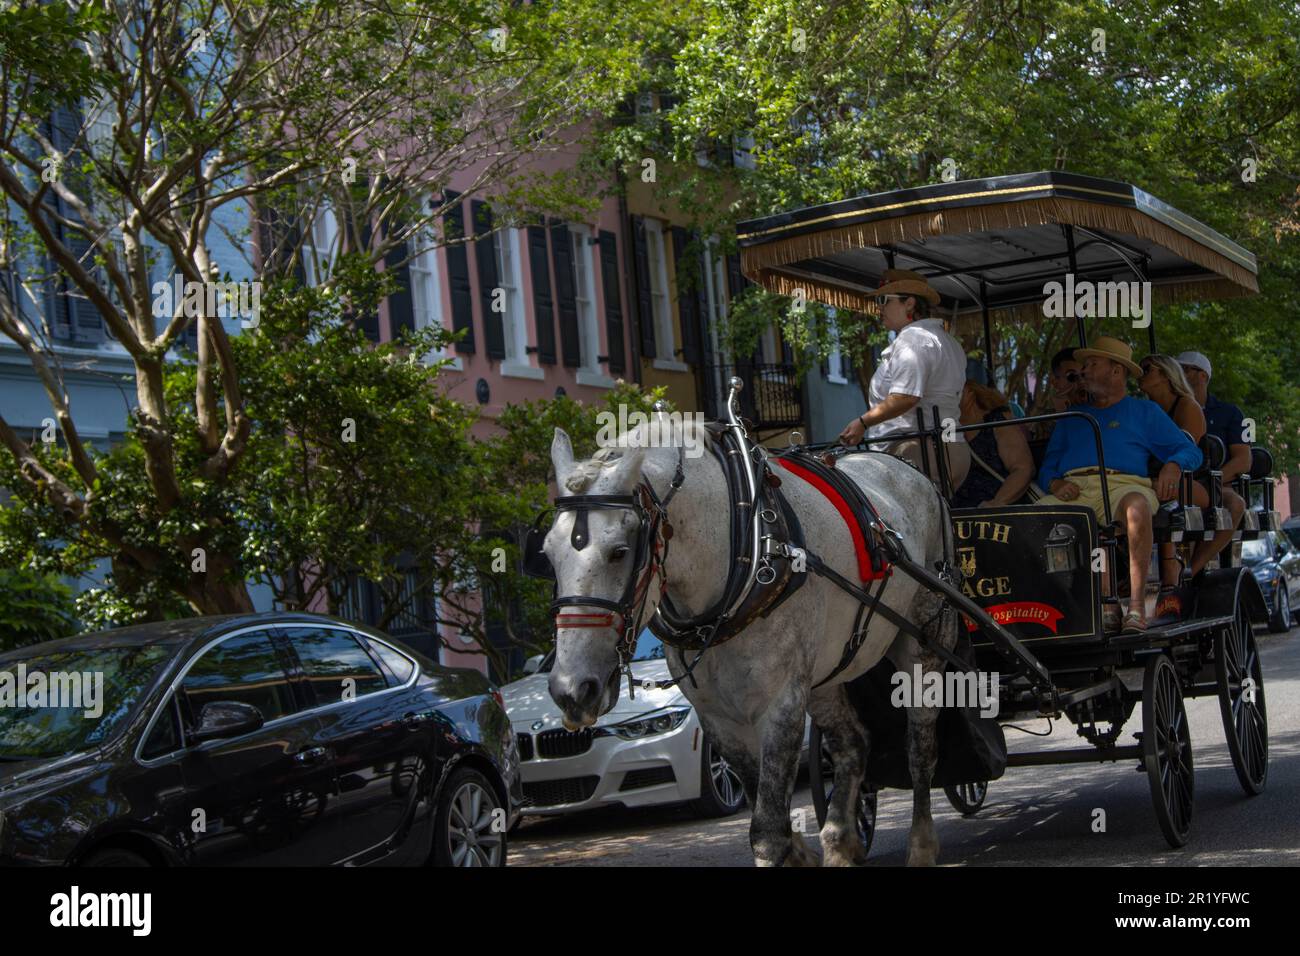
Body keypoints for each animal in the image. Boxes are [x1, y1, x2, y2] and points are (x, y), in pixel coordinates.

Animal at [543, 413, 958, 866]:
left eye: (618, 551)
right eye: (546, 553)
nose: (572, 690)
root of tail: (909, 471)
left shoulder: (780, 704)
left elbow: (767, 830)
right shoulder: (718, 716)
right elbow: (763, 801)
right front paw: (804, 853)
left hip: (923, 645)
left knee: (920, 748)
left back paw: (921, 843)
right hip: (823, 674)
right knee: (853, 744)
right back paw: (840, 841)